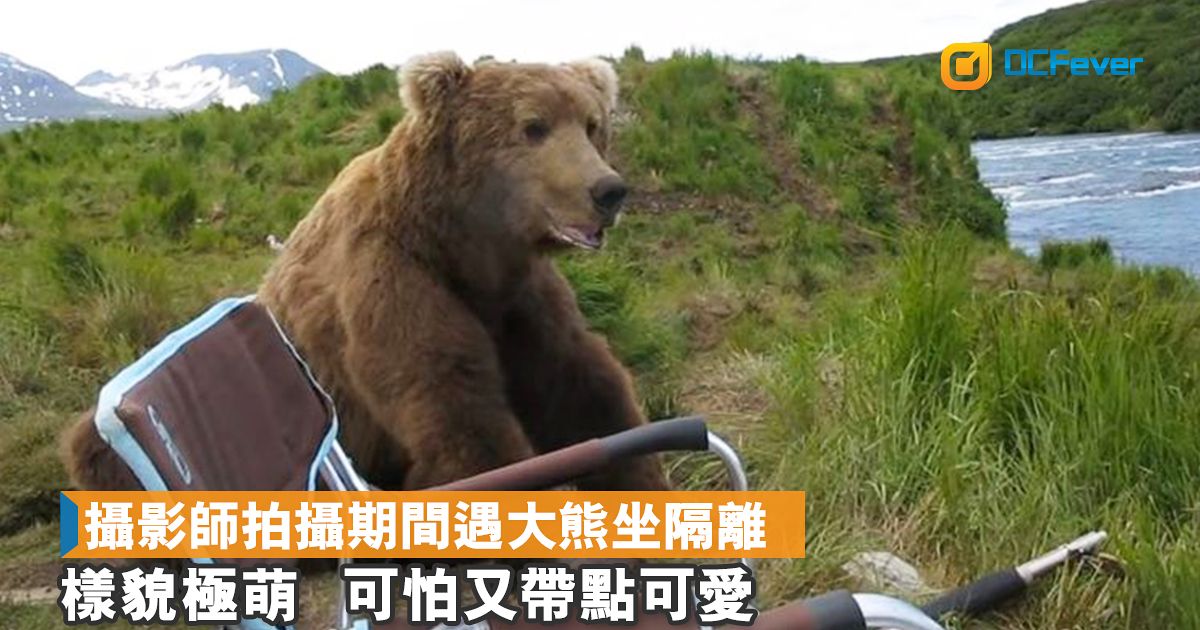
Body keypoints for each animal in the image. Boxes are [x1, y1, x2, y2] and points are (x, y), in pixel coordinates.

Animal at [63, 52, 670, 494]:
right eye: (534, 127)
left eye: (591, 125)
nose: (608, 190)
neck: (461, 247)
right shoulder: (390, 278)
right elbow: (455, 411)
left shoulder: (519, 298)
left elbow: (583, 387)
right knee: (92, 448)